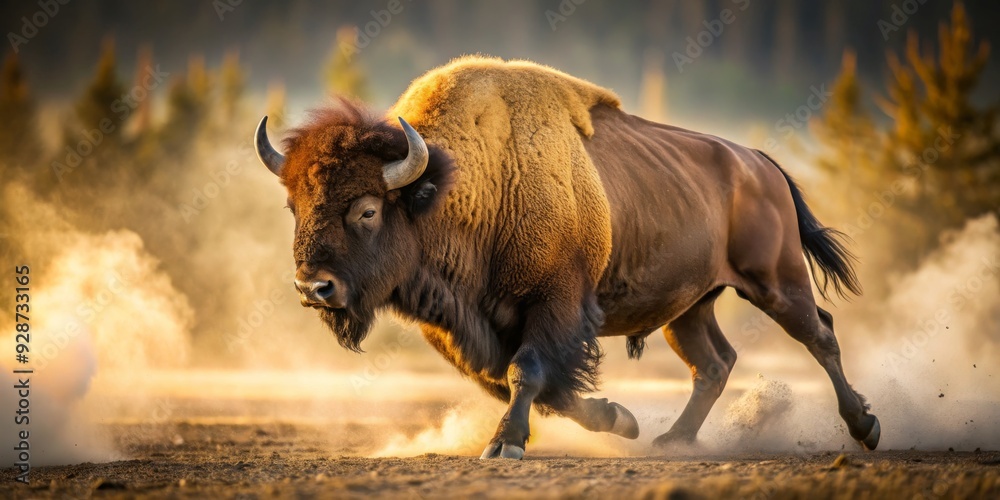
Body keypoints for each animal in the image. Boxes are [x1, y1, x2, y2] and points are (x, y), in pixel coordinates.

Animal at [254, 56, 879, 459]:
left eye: (366, 210)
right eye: (293, 205)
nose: (313, 288)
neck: (458, 187)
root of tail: (759, 163)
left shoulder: (554, 303)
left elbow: (525, 371)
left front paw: (504, 445)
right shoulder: (463, 328)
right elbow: (521, 381)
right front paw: (620, 419)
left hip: (774, 280)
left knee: (820, 335)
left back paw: (865, 426)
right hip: (689, 305)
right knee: (714, 363)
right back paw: (673, 440)